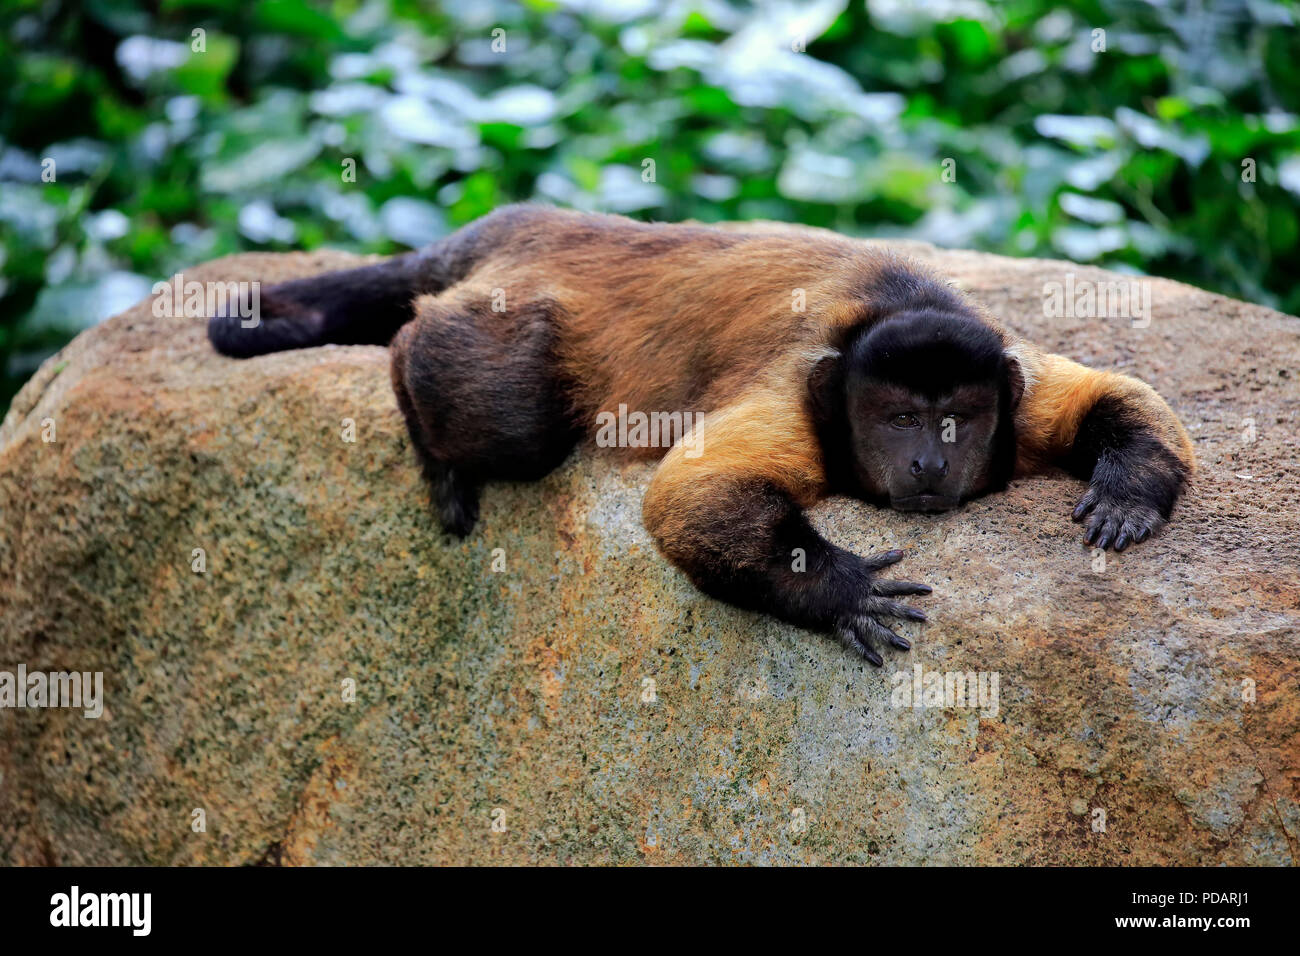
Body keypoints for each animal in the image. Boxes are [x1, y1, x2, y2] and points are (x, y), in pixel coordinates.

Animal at [208, 204, 1190, 665]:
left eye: (958, 420)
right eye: (899, 418)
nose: (925, 460)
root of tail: (531, 222)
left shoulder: (1010, 382)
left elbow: (1116, 396)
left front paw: (1128, 492)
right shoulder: (801, 395)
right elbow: (691, 494)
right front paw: (836, 588)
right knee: (514, 412)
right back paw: (428, 425)